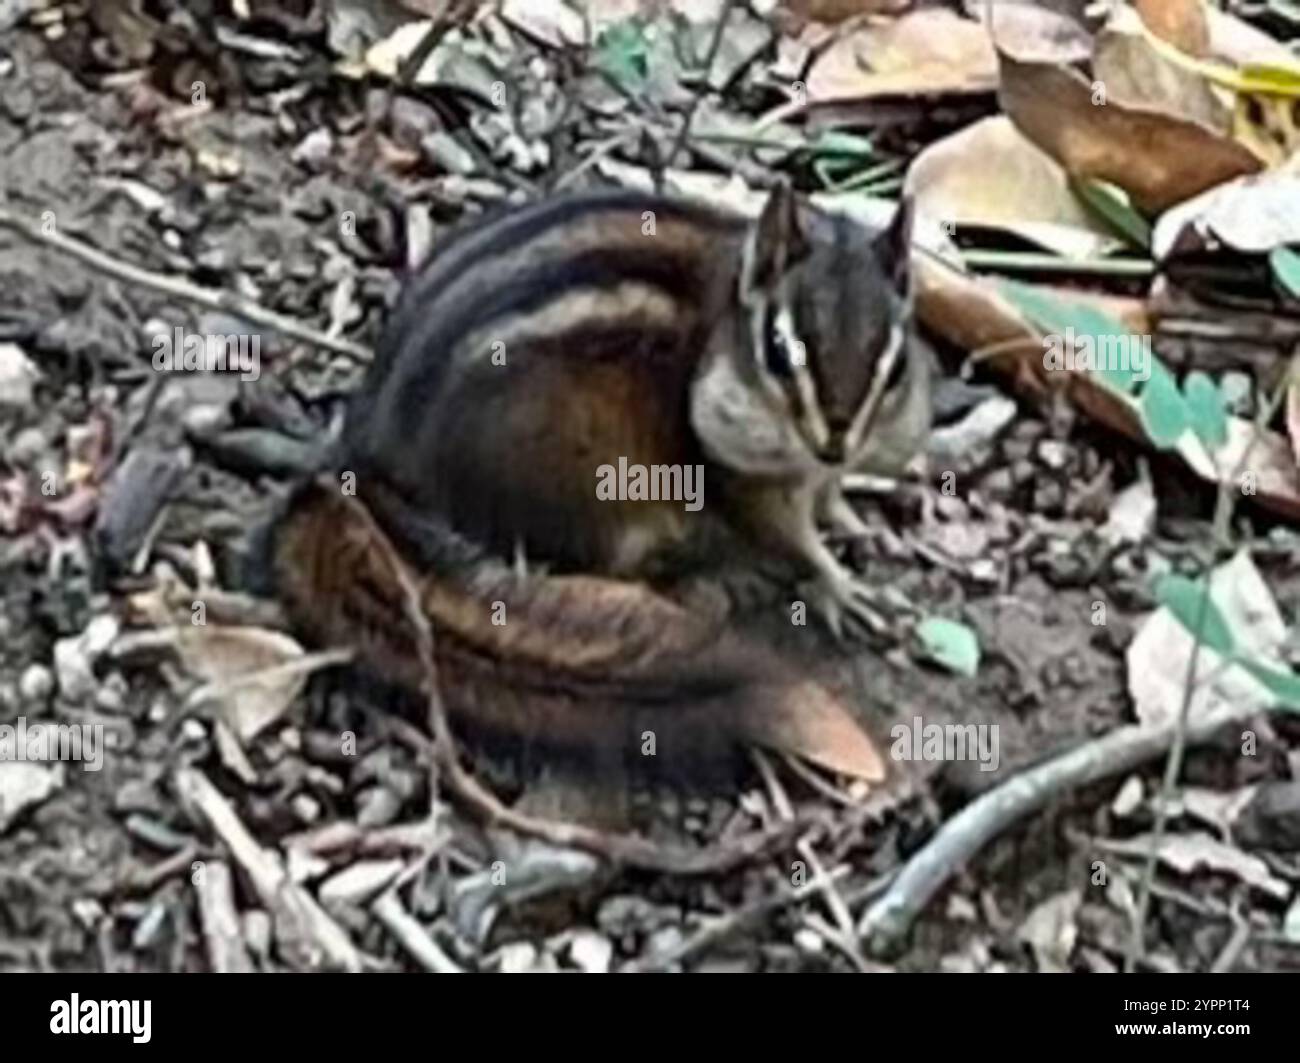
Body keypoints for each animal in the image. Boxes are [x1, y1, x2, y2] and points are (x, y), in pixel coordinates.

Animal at [266, 183, 931, 785]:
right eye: (777, 349)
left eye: (897, 365)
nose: (834, 443)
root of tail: (368, 460)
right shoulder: (732, 467)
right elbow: (786, 535)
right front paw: (841, 586)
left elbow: (827, 500)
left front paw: (852, 523)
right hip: (601, 490)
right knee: (617, 565)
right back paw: (712, 580)